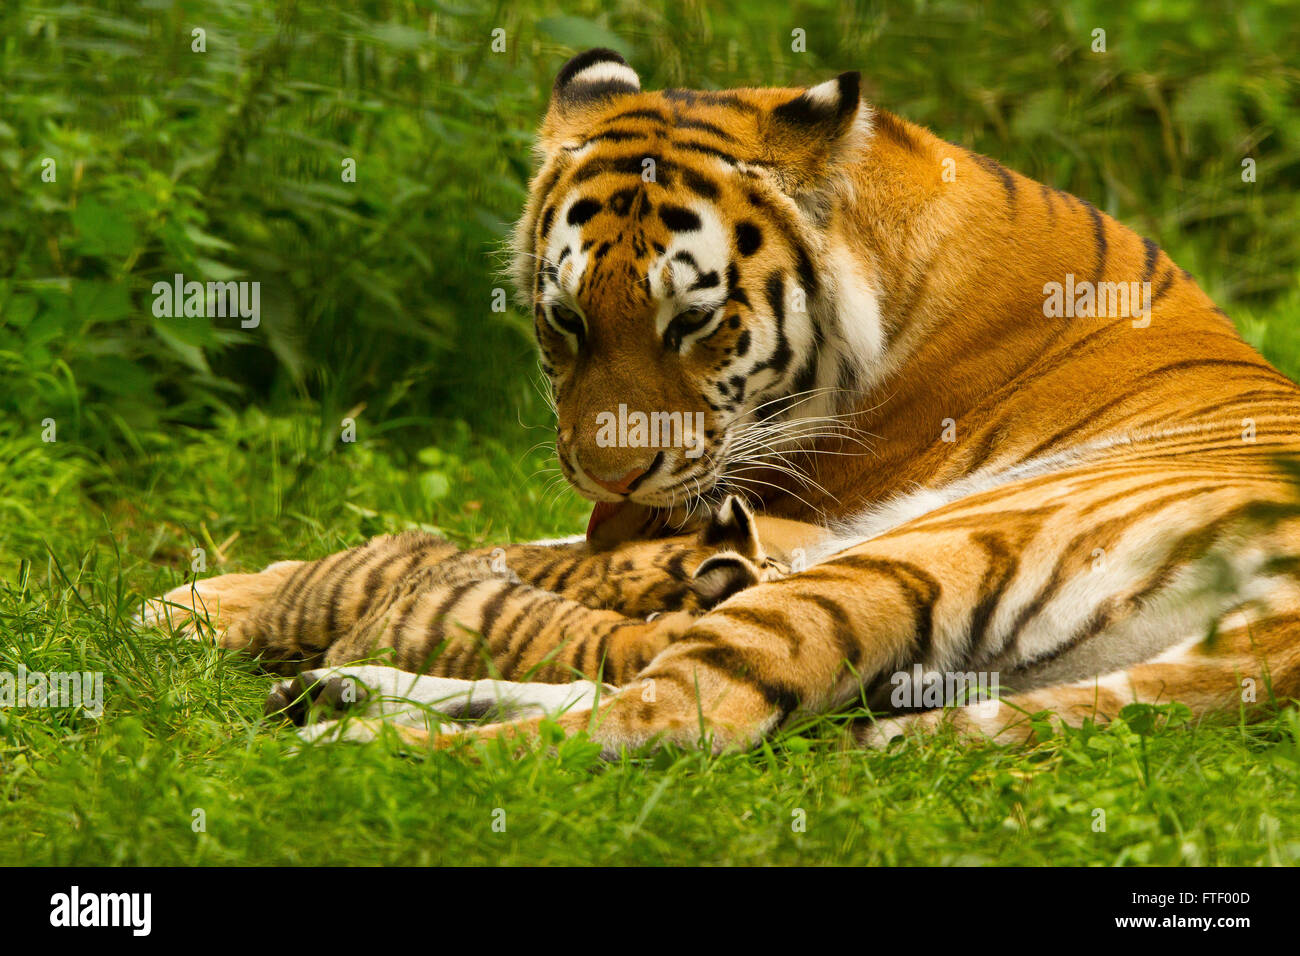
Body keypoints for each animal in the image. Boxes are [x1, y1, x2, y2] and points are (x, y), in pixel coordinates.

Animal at [145, 48, 1300, 755]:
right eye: (564, 320)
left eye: (691, 322)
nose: (609, 473)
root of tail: (1271, 636)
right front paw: (202, 598)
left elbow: (521, 553)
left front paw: (195, 604)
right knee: (628, 677)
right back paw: (337, 693)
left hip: (919, 553)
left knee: (660, 715)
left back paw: (352, 739)